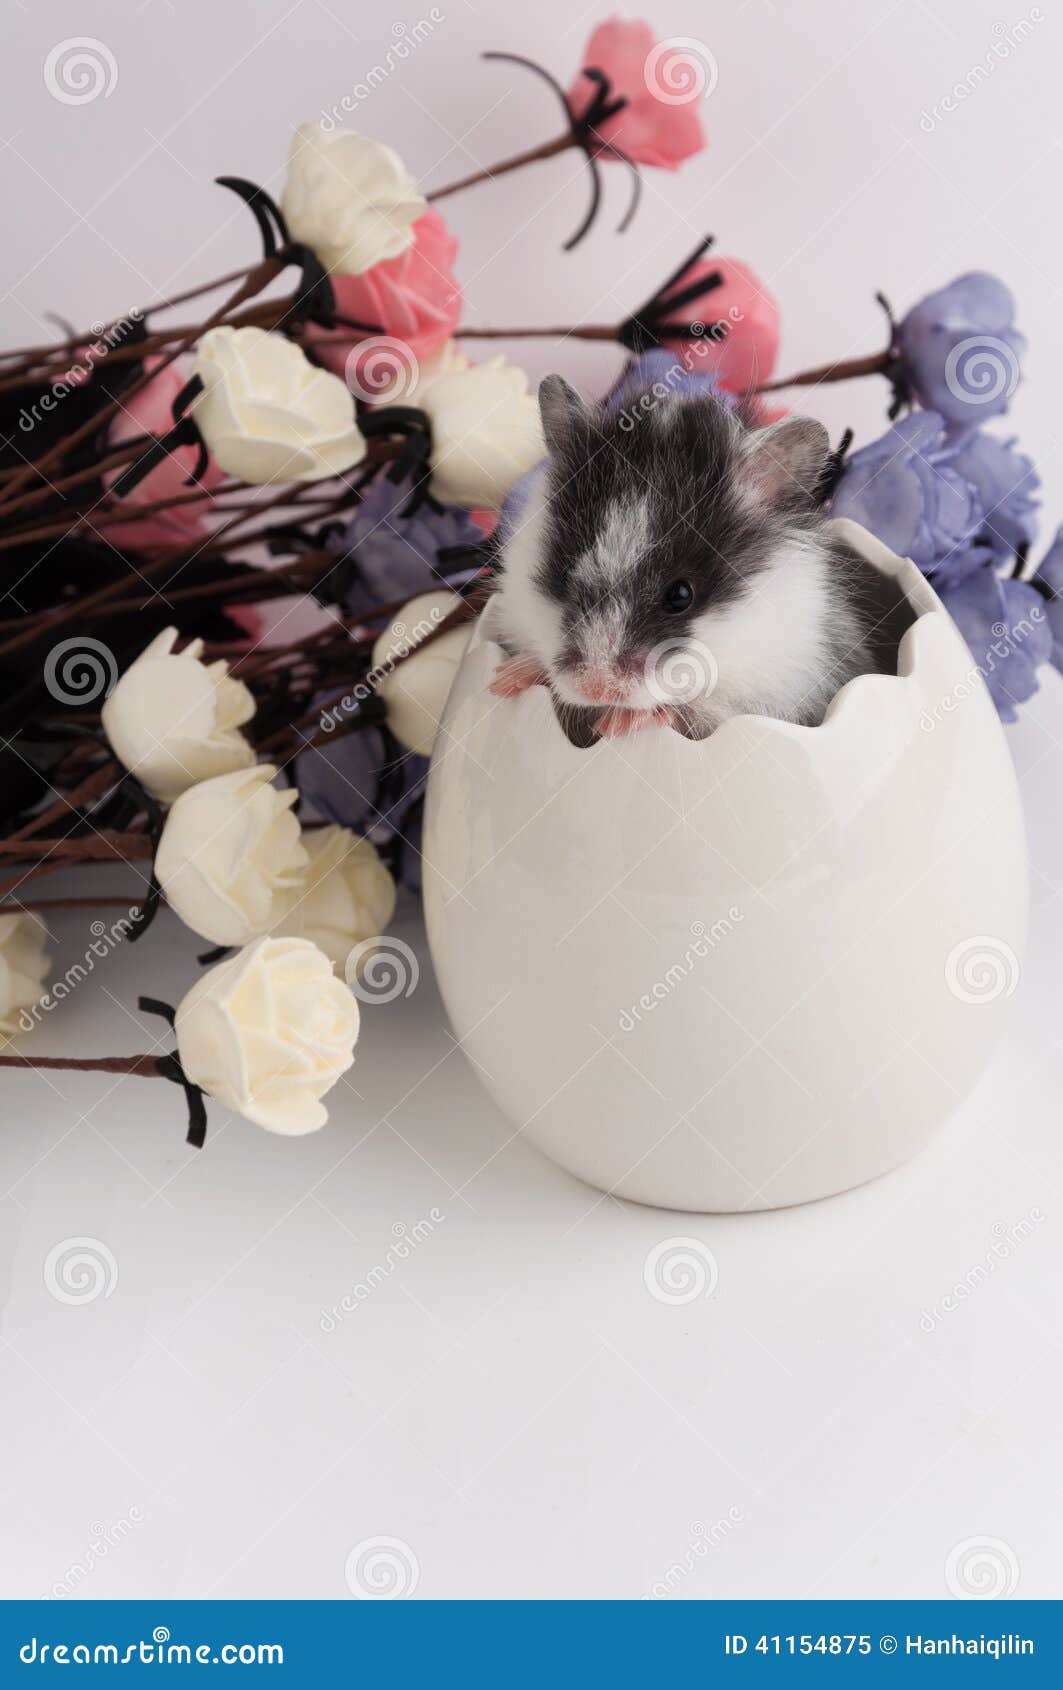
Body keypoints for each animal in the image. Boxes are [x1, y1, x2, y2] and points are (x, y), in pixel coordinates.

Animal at [488, 373, 910, 743]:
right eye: (563, 575)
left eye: (681, 595)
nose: (595, 689)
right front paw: (504, 679)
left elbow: (697, 710)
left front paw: (620, 723)